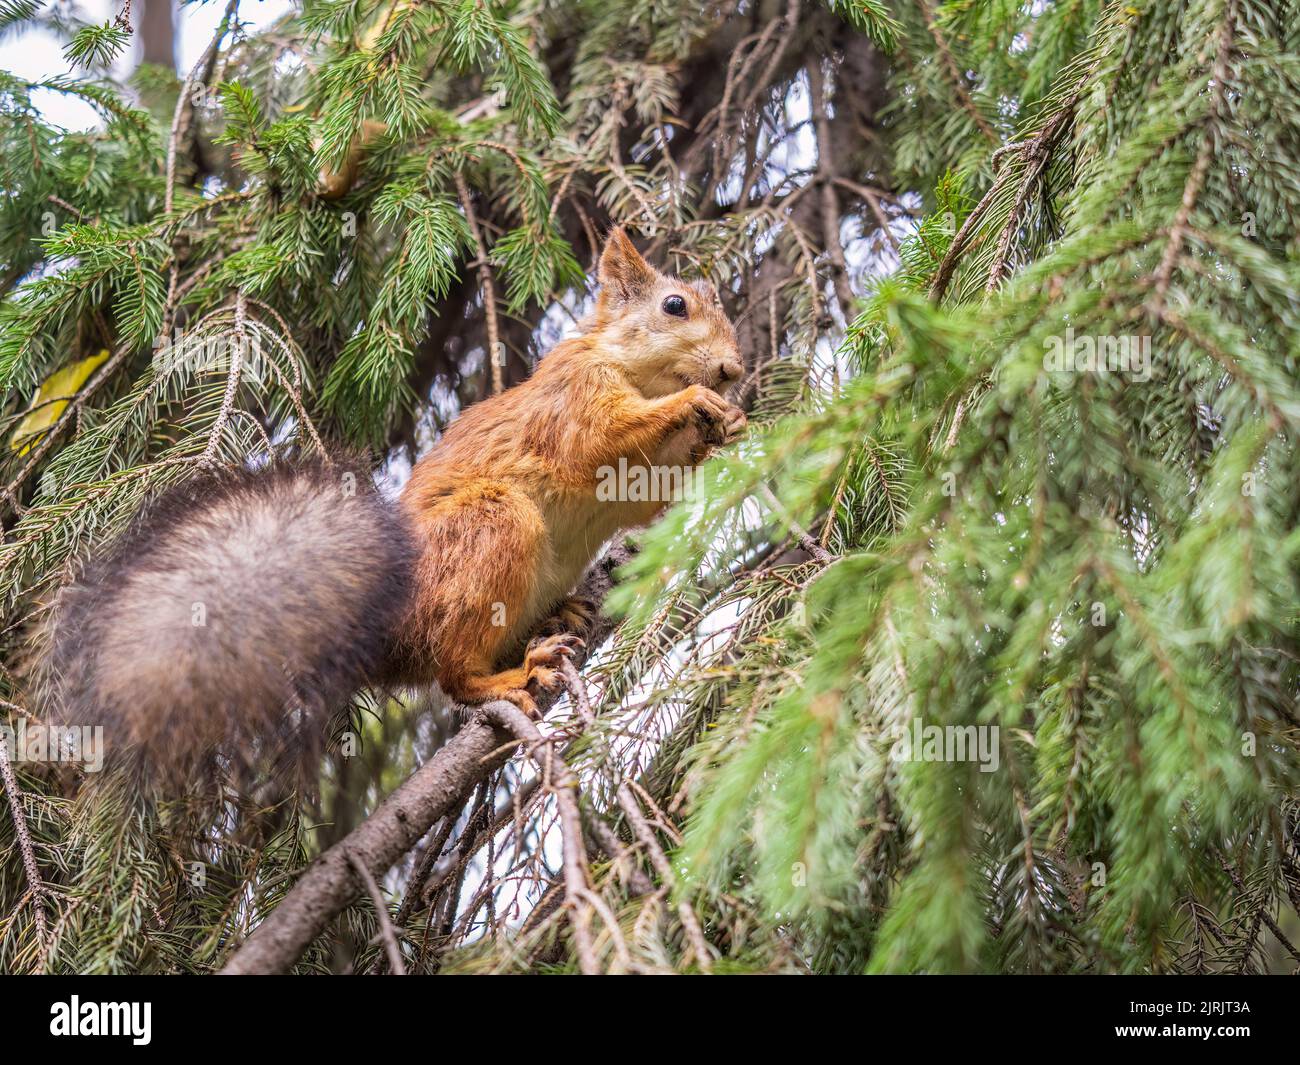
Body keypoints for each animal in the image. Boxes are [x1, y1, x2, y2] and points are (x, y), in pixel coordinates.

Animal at [36, 228, 746, 775]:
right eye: (675, 305)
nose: (735, 370)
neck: (635, 372)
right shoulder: (572, 400)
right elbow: (599, 439)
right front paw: (698, 403)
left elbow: (644, 499)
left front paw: (726, 432)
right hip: (490, 526)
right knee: (453, 674)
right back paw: (511, 675)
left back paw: (559, 614)